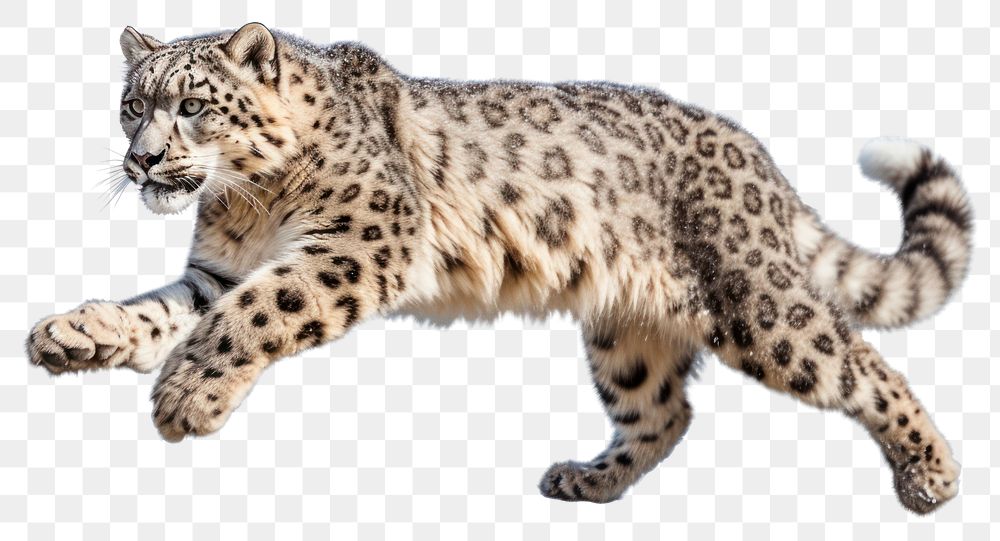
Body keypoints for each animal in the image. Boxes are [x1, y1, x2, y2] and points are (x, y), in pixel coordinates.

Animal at [25, 24, 973, 514]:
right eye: (130, 105)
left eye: (191, 105)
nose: (142, 161)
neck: (248, 205)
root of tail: (758, 155)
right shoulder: (220, 270)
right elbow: (167, 309)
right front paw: (75, 332)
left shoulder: (359, 243)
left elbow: (256, 312)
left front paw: (187, 398)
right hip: (625, 334)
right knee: (665, 411)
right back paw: (587, 479)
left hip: (763, 307)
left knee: (864, 365)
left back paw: (932, 475)